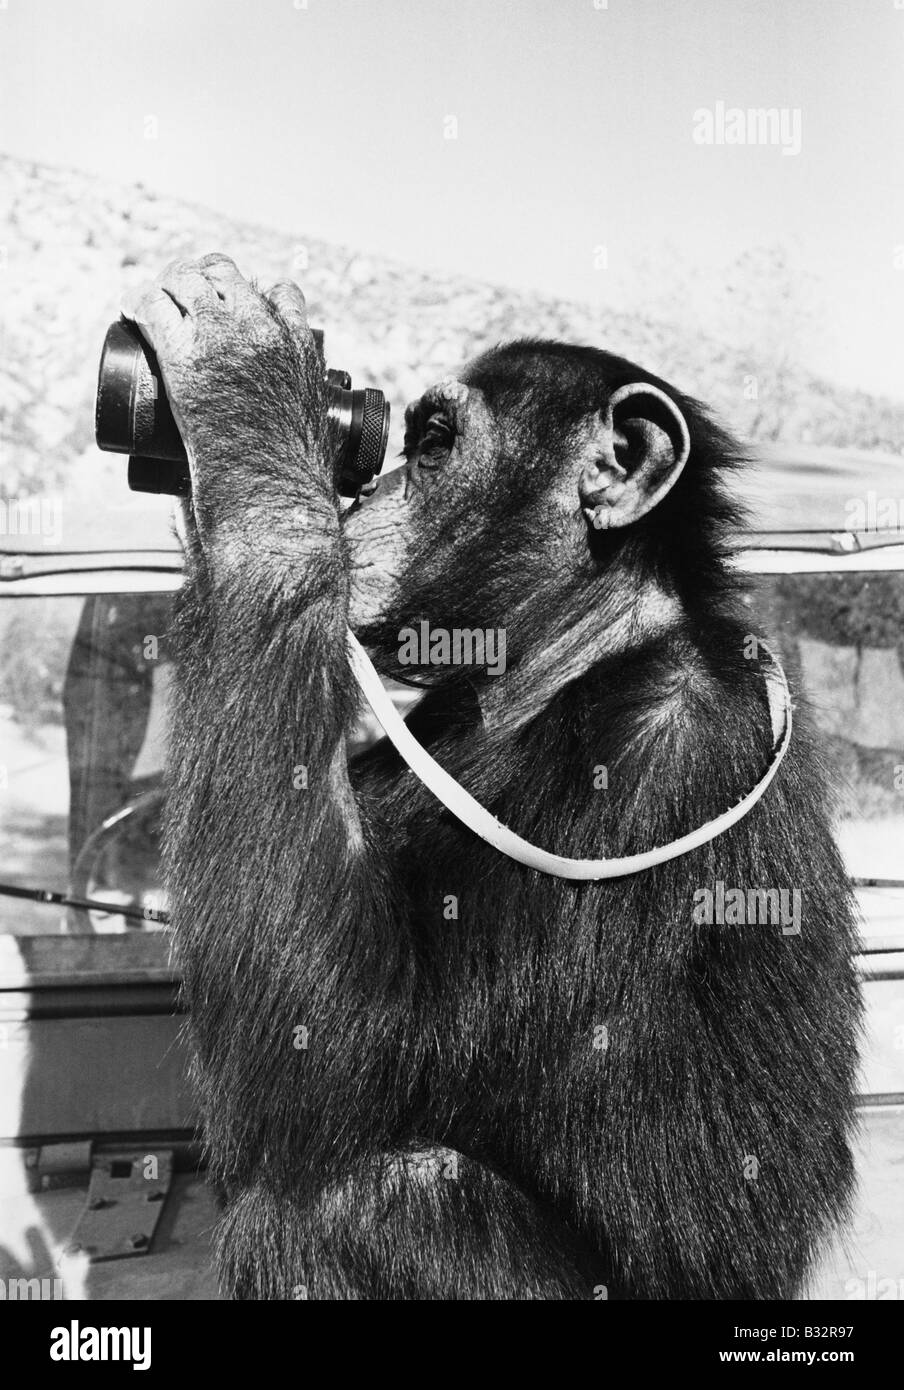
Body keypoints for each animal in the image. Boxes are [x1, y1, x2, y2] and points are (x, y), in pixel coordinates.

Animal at [123, 254, 861, 1300]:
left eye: (433, 444)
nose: (372, 491)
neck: (567, 653)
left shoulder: (666, 756)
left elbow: (356, 1052)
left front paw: (243, 384)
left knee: (365, 1201)